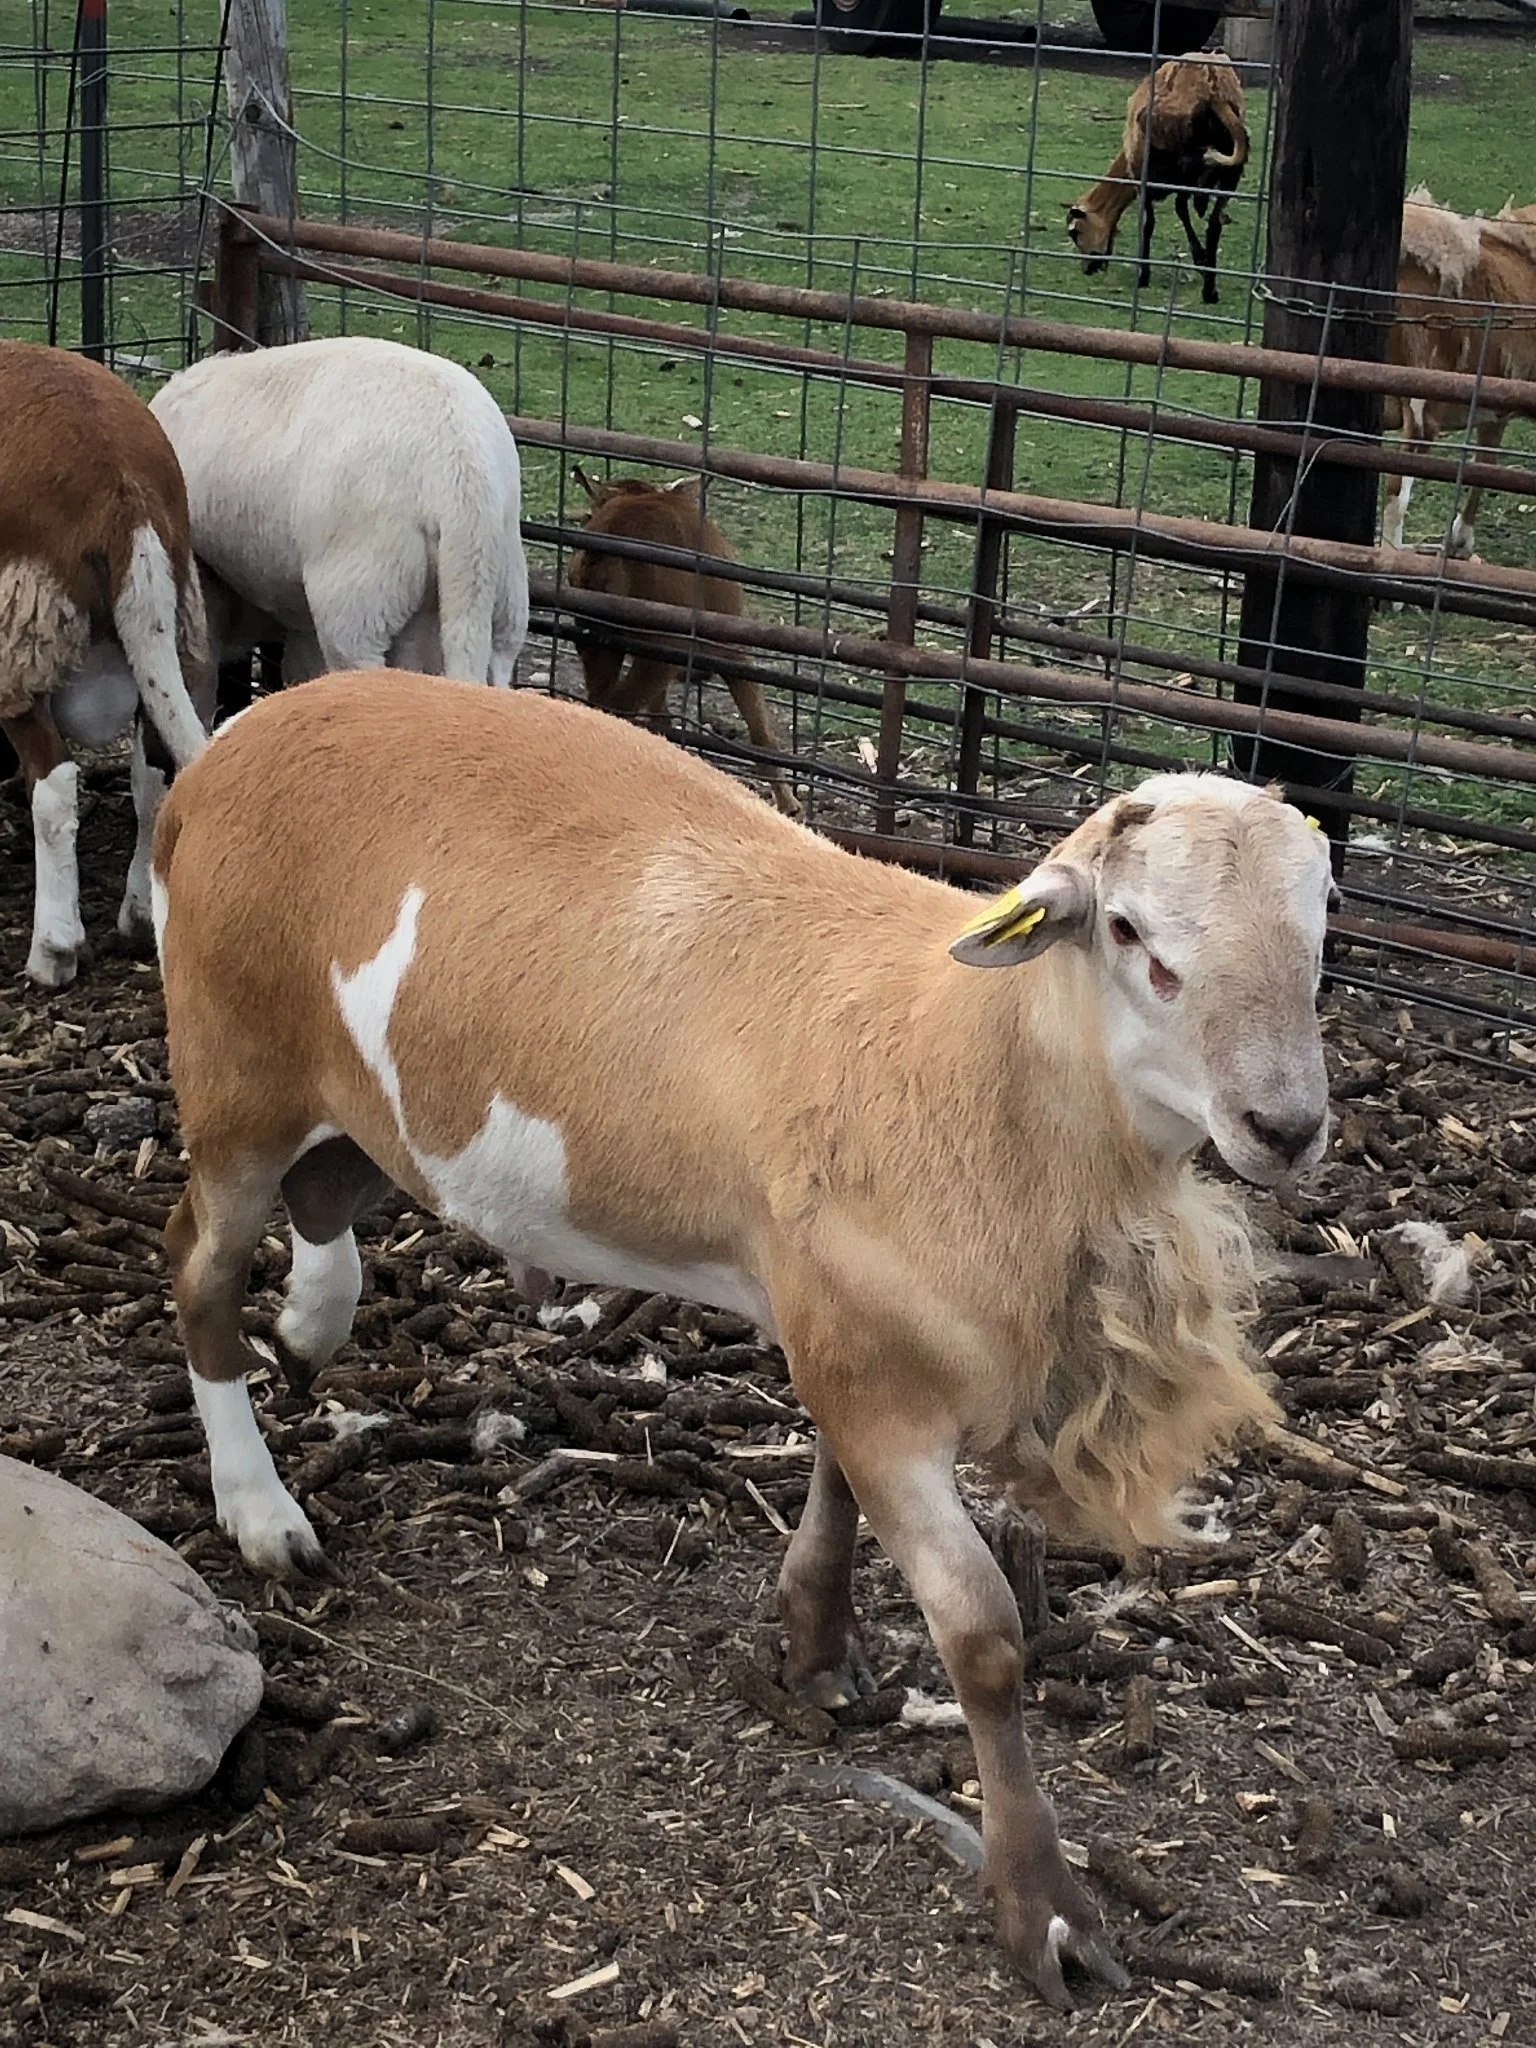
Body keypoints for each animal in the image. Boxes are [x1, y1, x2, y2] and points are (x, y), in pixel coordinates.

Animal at [0, 340, 211, 987]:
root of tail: (122, 489)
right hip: (171, 614)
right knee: (154, 773)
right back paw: (139, 916)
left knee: (55, 785)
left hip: (25, 628)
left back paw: (53, 950)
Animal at [152, 673, 1332, 2005]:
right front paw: (1048, 1913)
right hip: (232, 1063)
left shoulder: (844, 1325)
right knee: (197, 1268)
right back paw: (261, 1508)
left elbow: (831, 1485)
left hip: (342, 1088)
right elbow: (983, 1637)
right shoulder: (873, 1373)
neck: (970, 1067)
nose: (1287, 1125)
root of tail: (236, 738)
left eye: (1323, 920)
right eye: (1131, 934)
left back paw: (312, 1323)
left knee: (326, 1193)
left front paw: (815, 1646)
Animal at [567, 468, 800, 815]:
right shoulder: (732, 645)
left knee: (603, 700)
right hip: (664, 649)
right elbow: (761, 733)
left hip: (599, 641)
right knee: (618, 706)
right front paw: (789, 804)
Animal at [1066, 55, 1249, 305]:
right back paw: (1209, 291)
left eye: (1075, 232)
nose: (1087, 269)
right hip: (1230, 173)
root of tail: (1214, 93)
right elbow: (1180, 209)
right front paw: (1200, 259)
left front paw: (1144, 276)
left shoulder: (1144, 176)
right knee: (1214, 225)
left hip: (1187, 159)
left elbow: (1149, 223)